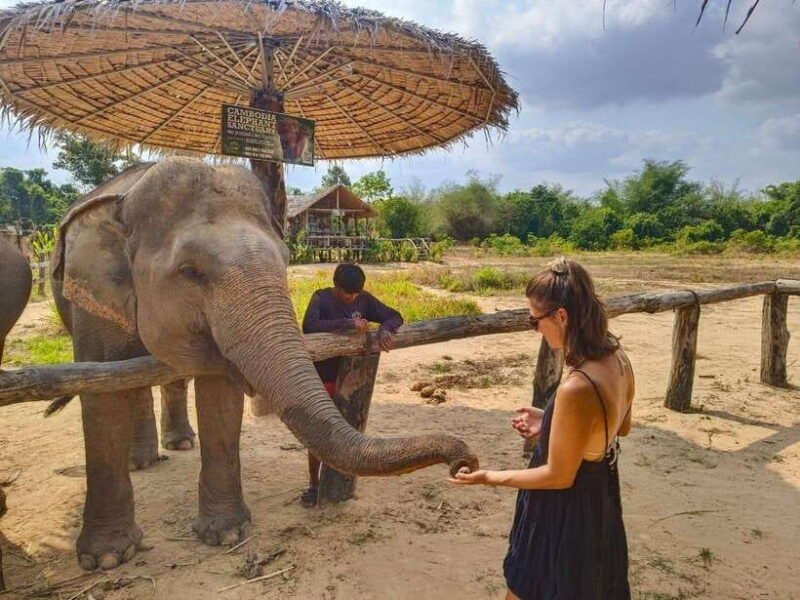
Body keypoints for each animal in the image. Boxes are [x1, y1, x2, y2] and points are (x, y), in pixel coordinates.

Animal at [51, 157, 478, 571]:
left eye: (286, 260)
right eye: (189, 271)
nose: (465, 463)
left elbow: (219, 393)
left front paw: (226, 535)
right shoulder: (91, 297)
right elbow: (101, 396)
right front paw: (107, 559)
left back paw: (176, 446)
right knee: (125, 381)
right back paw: (142, 462)